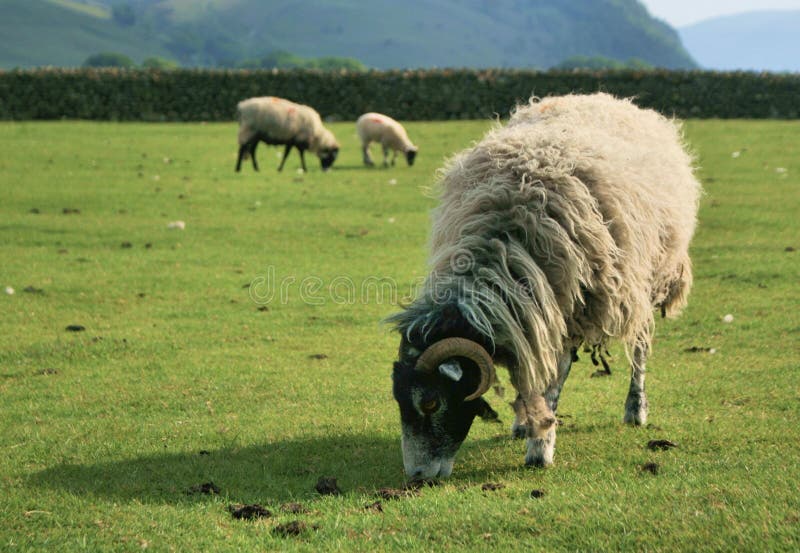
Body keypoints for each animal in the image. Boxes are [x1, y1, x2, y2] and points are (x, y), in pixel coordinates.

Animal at [387, 93, 701, 479]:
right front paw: (526, 423)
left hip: (648, 278)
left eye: (431, 402)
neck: (505, 245)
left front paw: (540, 446)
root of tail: (606, 98)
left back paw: (636, 409)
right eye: (399, 399)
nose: (416, 476)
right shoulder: (529, 317)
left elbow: (553, 380)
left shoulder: (571, 306)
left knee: (640, 345)